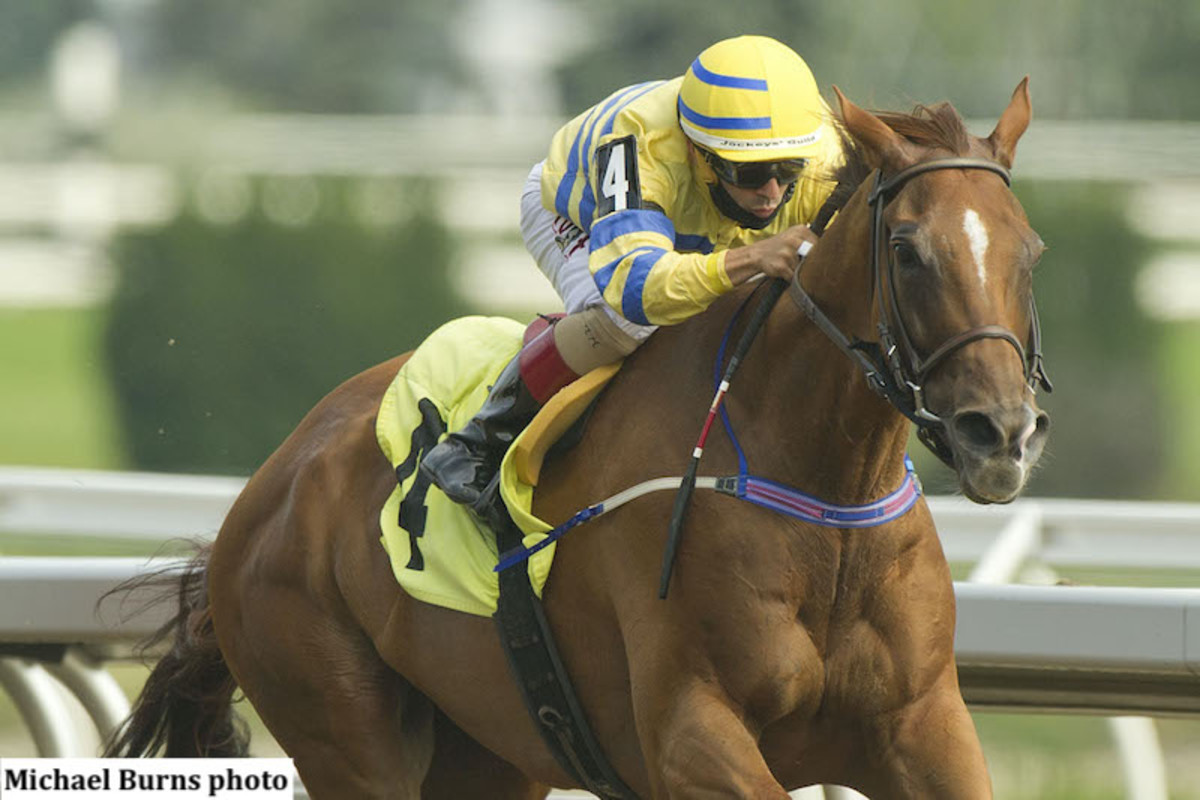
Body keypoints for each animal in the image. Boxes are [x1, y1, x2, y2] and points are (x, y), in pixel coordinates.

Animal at [105, 81, 1050, 799]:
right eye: (908, 249)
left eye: (1030, 251)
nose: (1000, 431)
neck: (823, 497)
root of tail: (271, 485)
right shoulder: (688, 732)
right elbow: (634, 282)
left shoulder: (922, 727)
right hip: (343, 731)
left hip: (487, 752)